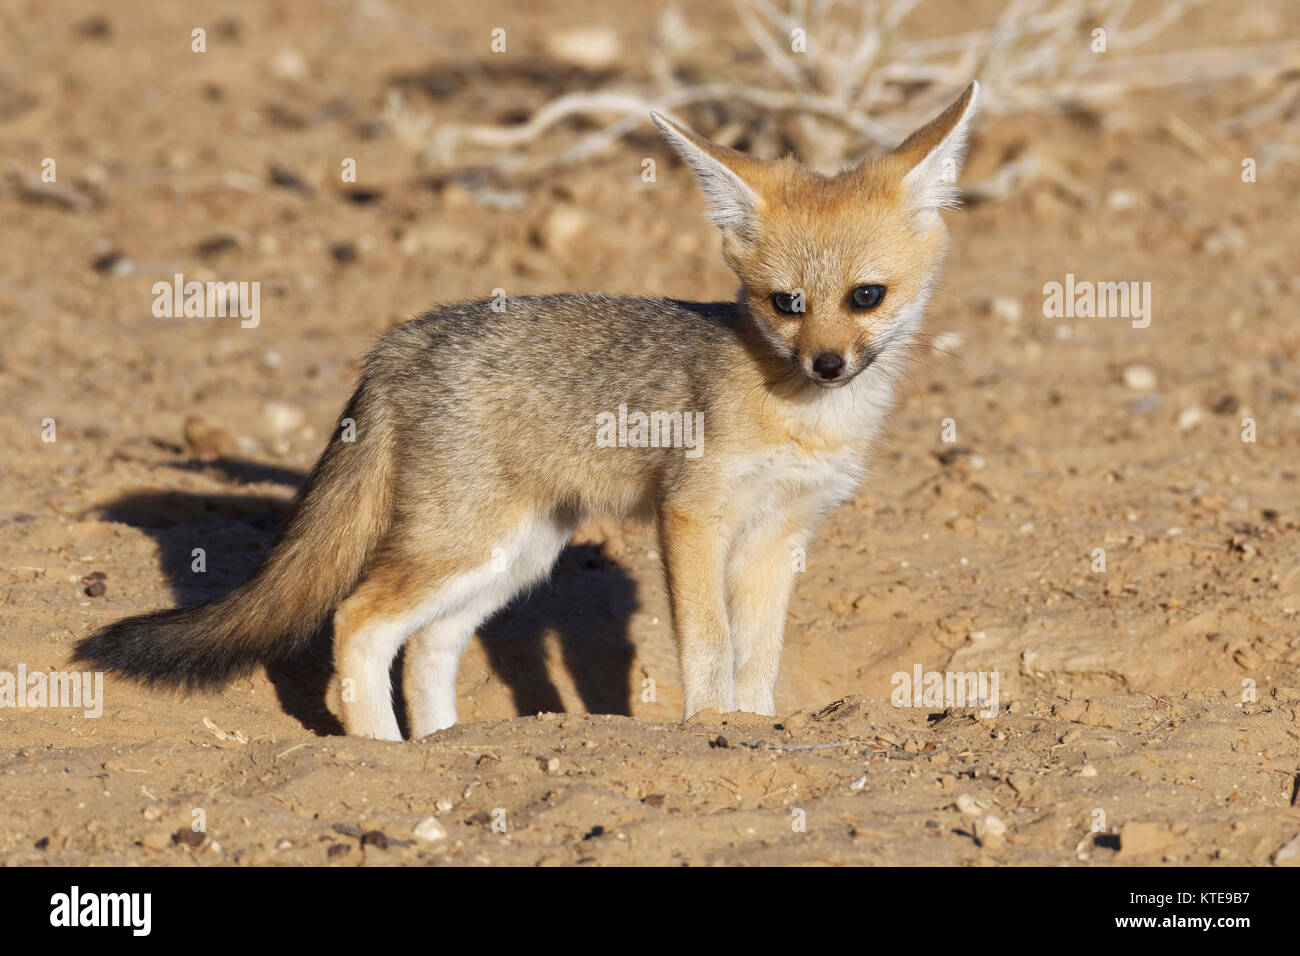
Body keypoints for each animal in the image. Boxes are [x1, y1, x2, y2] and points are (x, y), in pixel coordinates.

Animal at [75, 83, 980, 740]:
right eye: (787, 303)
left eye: (866, 297)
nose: (827, 364)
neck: (804, 416)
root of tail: (401, 341)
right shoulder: (694, 516)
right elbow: (709, 646)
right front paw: (708, 726)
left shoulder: (780, 533)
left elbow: (758, 655)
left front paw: (754, 725)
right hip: (465, 544)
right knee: (361, 620)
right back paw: (382, 751)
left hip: (515, 553)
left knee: (429, 645)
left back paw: (443, 747)